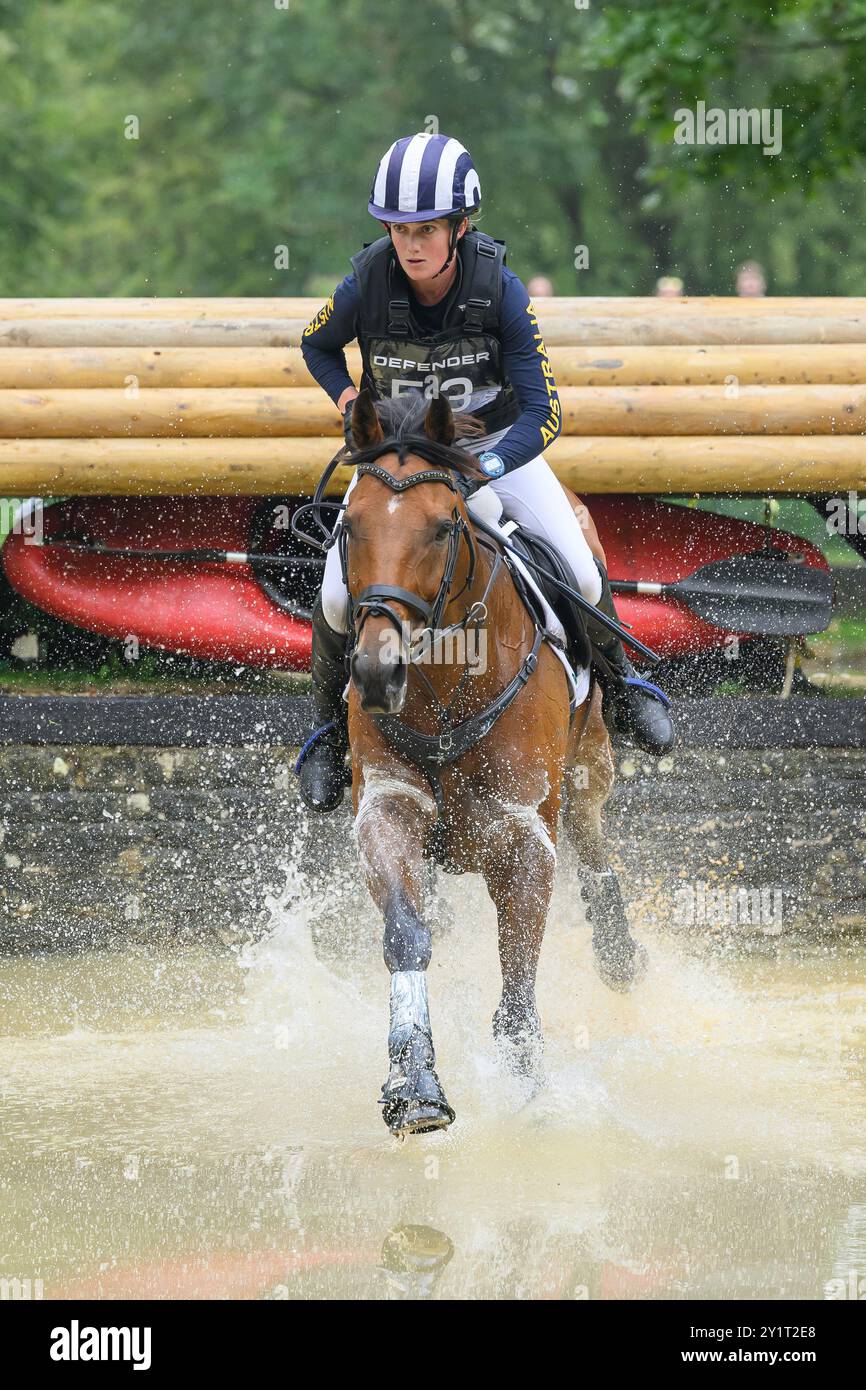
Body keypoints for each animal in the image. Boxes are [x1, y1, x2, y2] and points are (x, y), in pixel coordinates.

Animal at [316, 389, 646, 1137]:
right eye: (348, 526)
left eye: (443, 528)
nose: (376, 673)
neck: (446, 681)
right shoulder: (389, 806)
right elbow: (406, 934)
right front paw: (415, 1084)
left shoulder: (522, 834)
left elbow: (518, 984)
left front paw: (527, 1095)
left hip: (588, 761)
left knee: (592, 839)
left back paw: (619, 954)